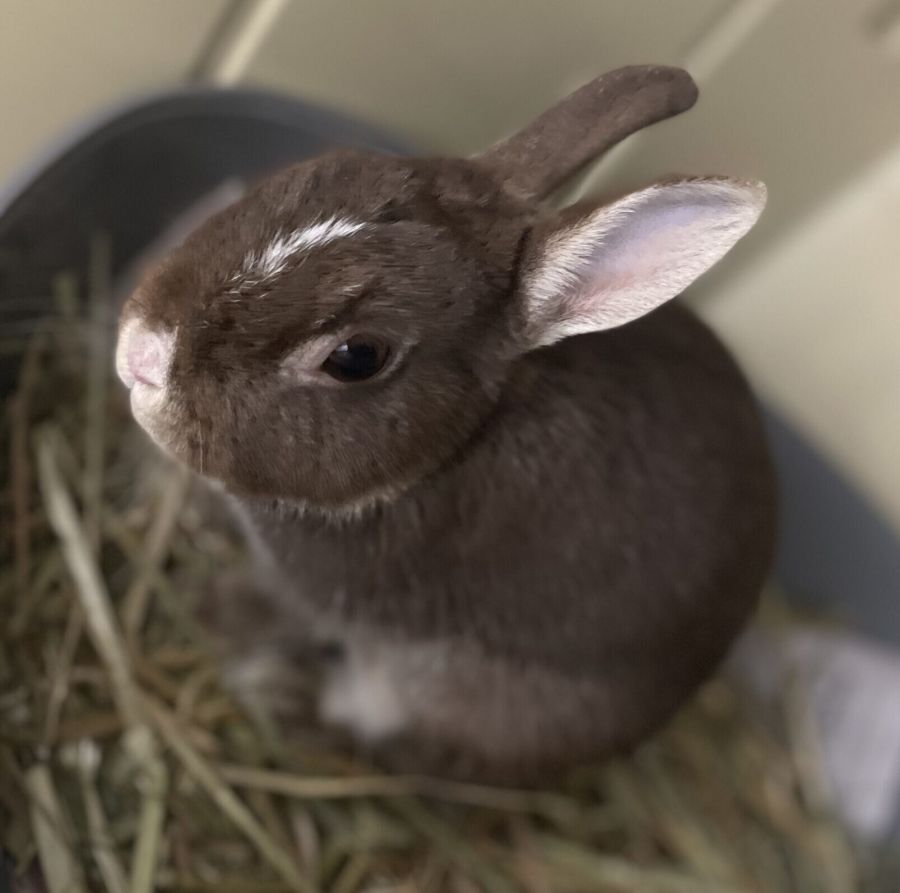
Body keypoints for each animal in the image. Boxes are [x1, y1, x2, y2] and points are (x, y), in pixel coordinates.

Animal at [116, 65, 776, 781]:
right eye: (309, 172)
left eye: (356, 357)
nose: (139, 356)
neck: (451, 451)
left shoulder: (312, 596)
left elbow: (264, 609)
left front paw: (206, 615)